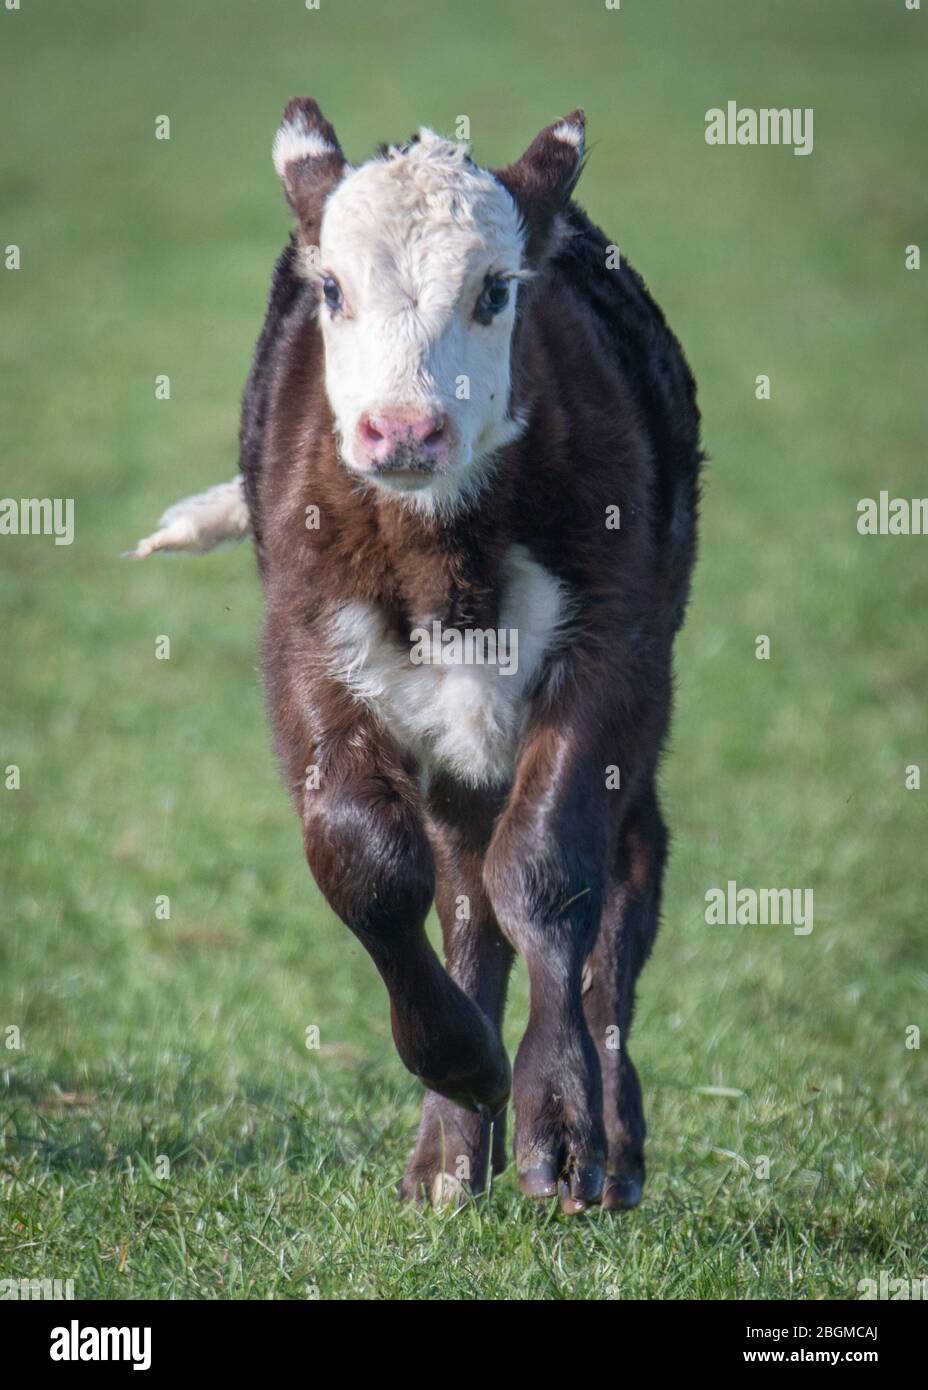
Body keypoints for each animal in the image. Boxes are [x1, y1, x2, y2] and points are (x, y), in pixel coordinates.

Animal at [131, 99, 703, 1214]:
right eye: (333, 289)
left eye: (494, 289)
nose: (401, 429)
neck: (446, 557)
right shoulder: (306, 648)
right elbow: (367, 865)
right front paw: (467, 1069)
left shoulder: (611, 651)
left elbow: (547, 867)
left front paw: (560, 1126)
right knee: (465, 894)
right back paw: (447, 1155)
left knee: (618, 882)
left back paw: (612, 1147)